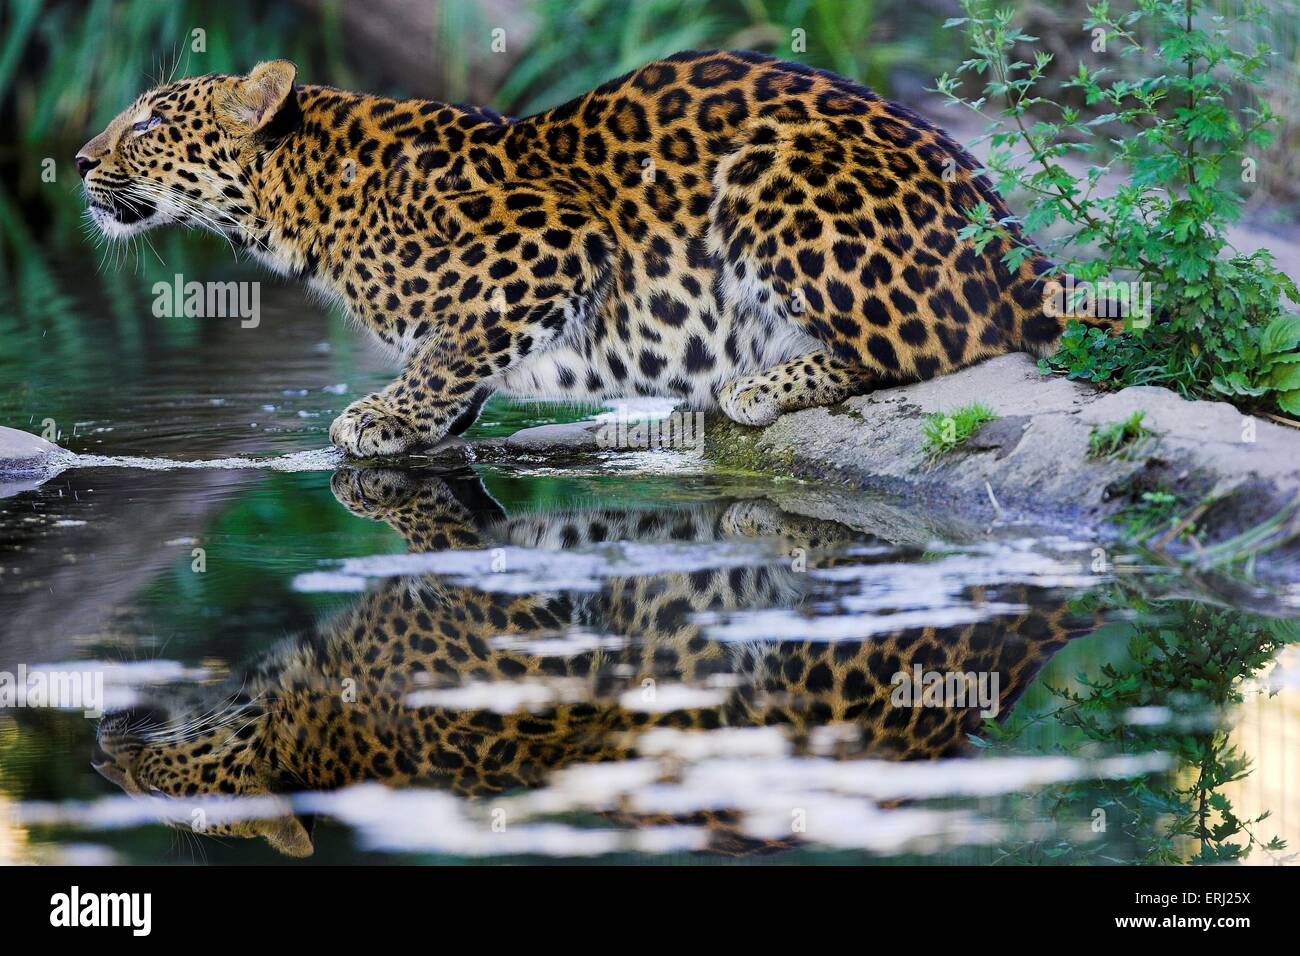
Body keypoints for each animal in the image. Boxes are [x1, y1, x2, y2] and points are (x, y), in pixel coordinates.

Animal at [77, 52, 1124, 454]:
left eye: (149, 122)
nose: (80, 159)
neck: (302, 199)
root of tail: (1002, 224)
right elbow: (461, 359)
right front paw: (429, 418)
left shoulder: (550, 239)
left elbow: (453, 346)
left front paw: (382, 414)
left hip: (777, 174)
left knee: (927, 343)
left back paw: (760, 381)